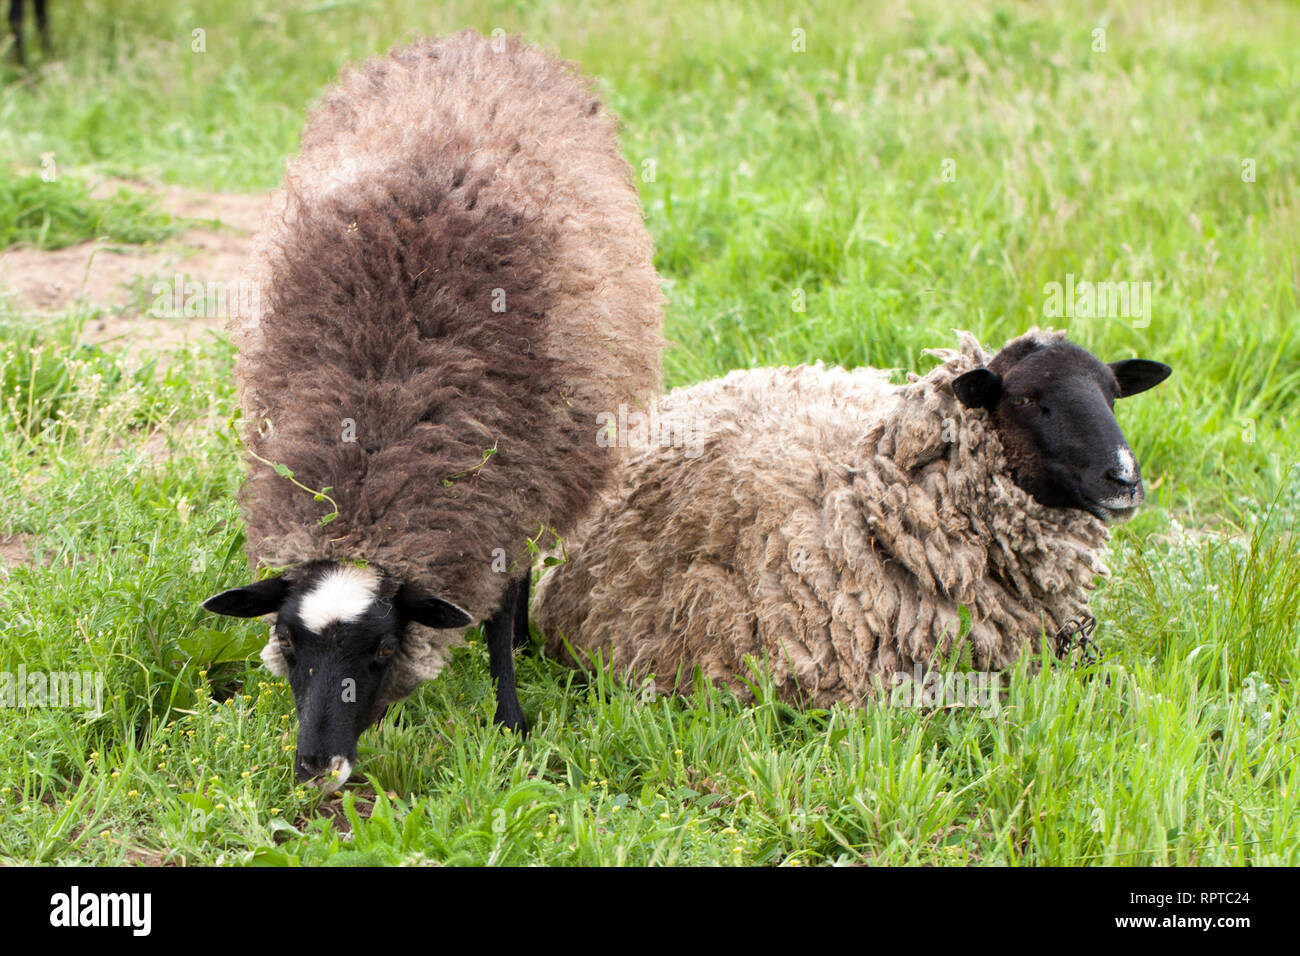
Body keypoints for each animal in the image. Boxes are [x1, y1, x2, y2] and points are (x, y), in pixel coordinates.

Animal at [201, 30, 664, 790]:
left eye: (383, 650)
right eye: (287, 642)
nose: (317, 765)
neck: (374, 437)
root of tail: (478, 40)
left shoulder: (508, 492)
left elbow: (498, 614)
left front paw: (511, 719)